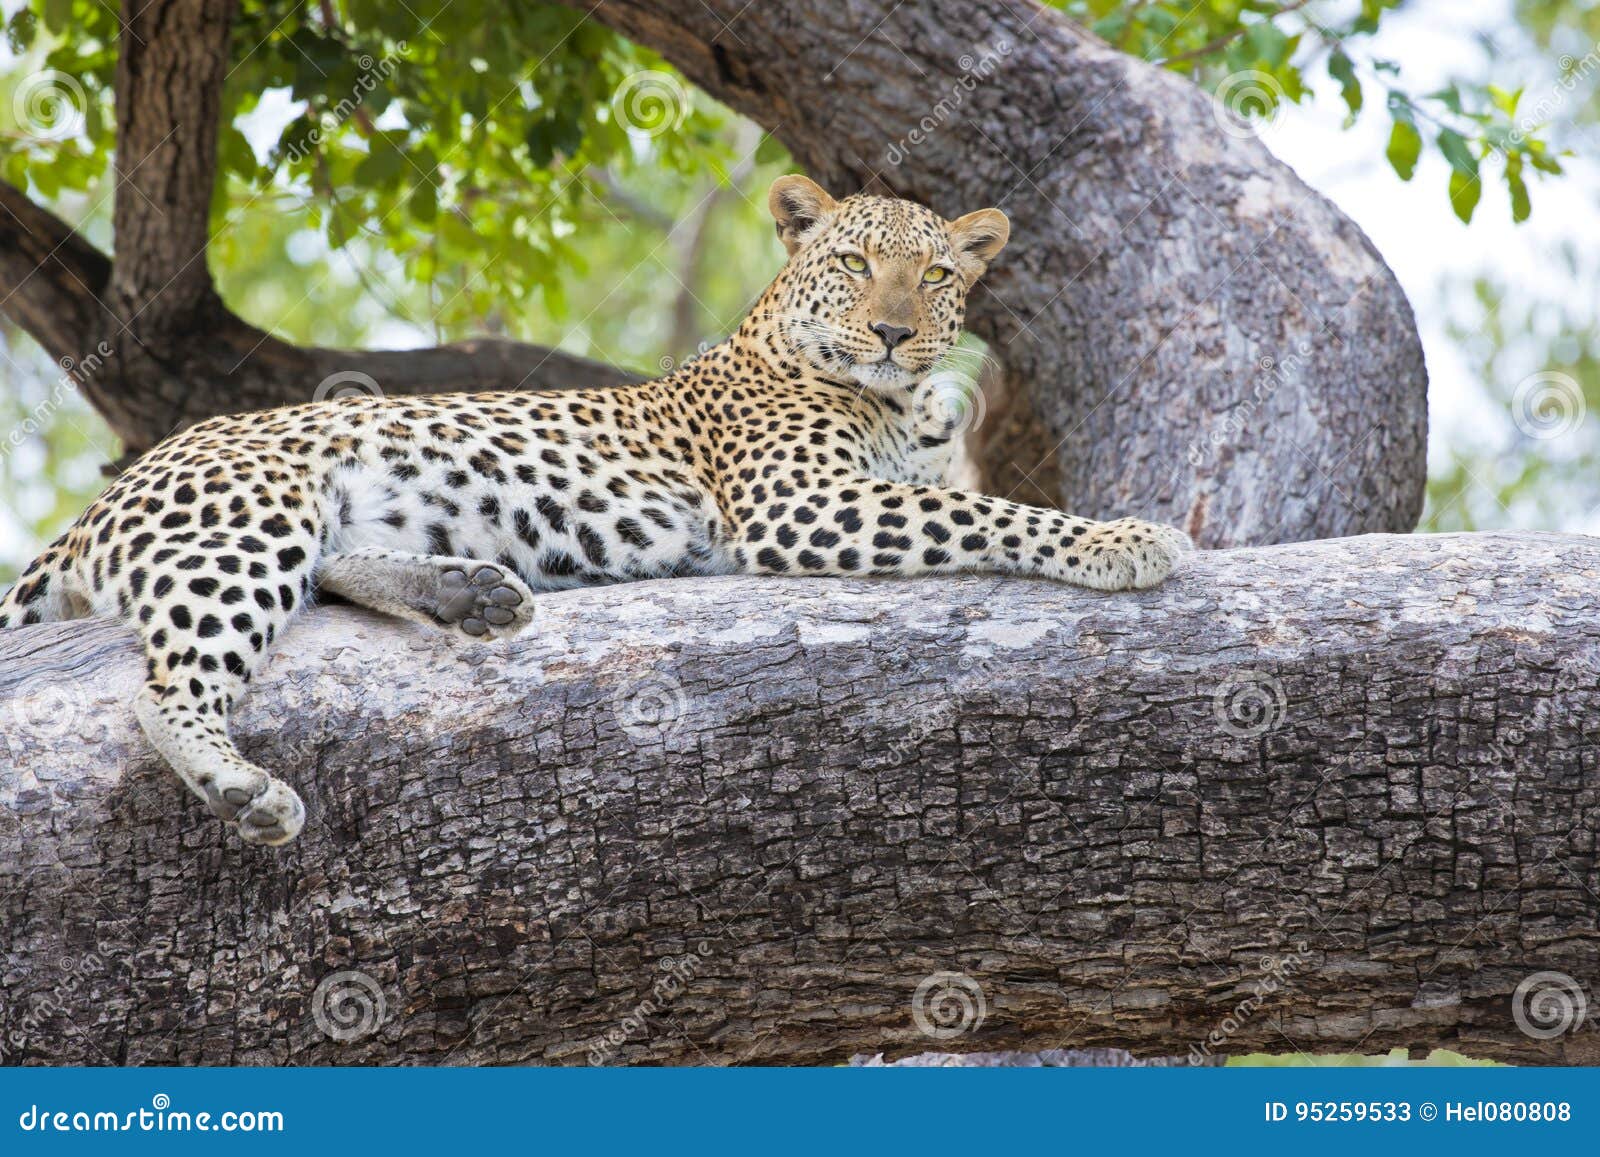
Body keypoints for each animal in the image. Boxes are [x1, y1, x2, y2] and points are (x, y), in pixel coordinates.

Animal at [0, 175, 1191, 847]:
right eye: (853, 262)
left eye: (936, 274)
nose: (895, 331)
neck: (907, 399)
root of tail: (113, 488)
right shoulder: (800, 504)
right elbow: (994, 514)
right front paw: (1126, 537)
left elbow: (973, 498)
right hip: (247, 521)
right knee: (164, 685)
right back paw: (243, 786)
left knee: (331, 571)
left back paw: (468, 593)